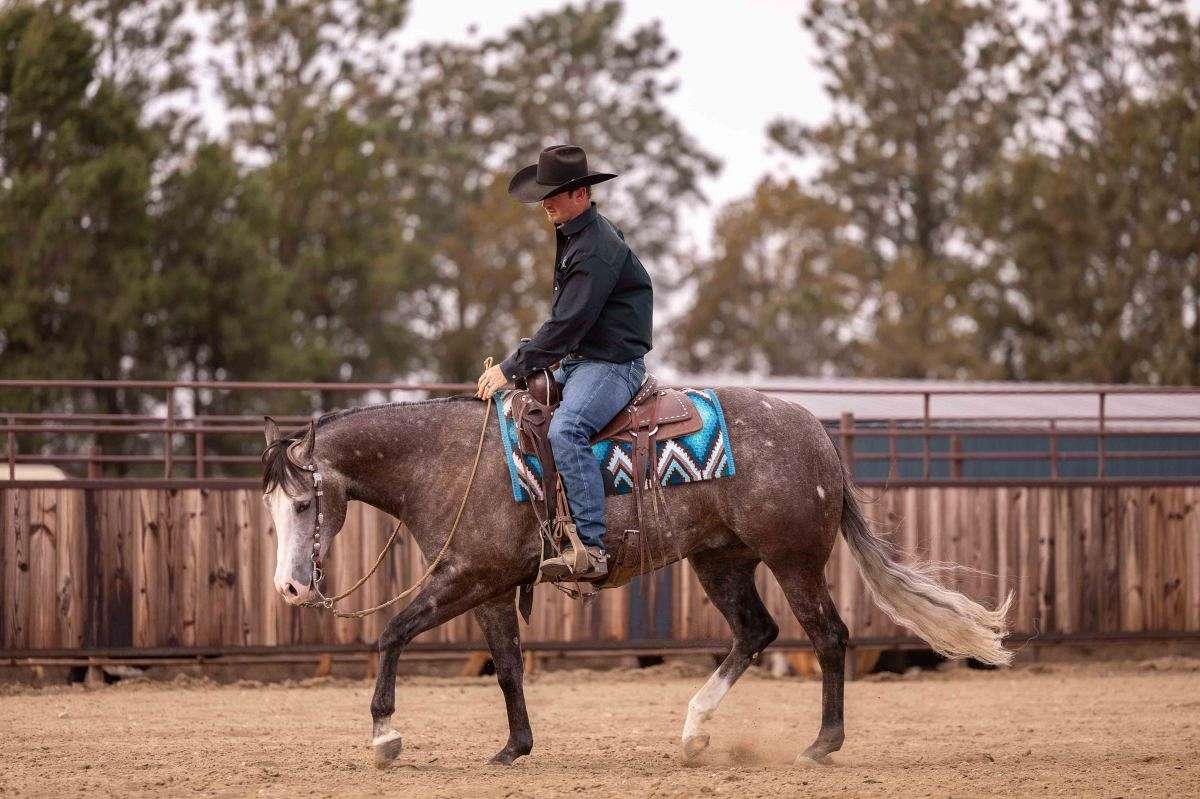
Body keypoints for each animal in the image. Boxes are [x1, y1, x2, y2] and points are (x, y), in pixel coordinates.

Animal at [260, 387, 1011, 767]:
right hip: (721, 560)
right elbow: (507, 665)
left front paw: (385, 735)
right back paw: (695, 730)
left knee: (827, 636)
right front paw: (514, 747)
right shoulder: (491, 585)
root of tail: (818, 435)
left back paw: (822, 744)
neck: (444, 459)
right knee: (755, 632)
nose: (290, 590)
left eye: (302, 504)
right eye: (268, 508)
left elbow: (391, 633)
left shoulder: (466, 575)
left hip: (794, 558)